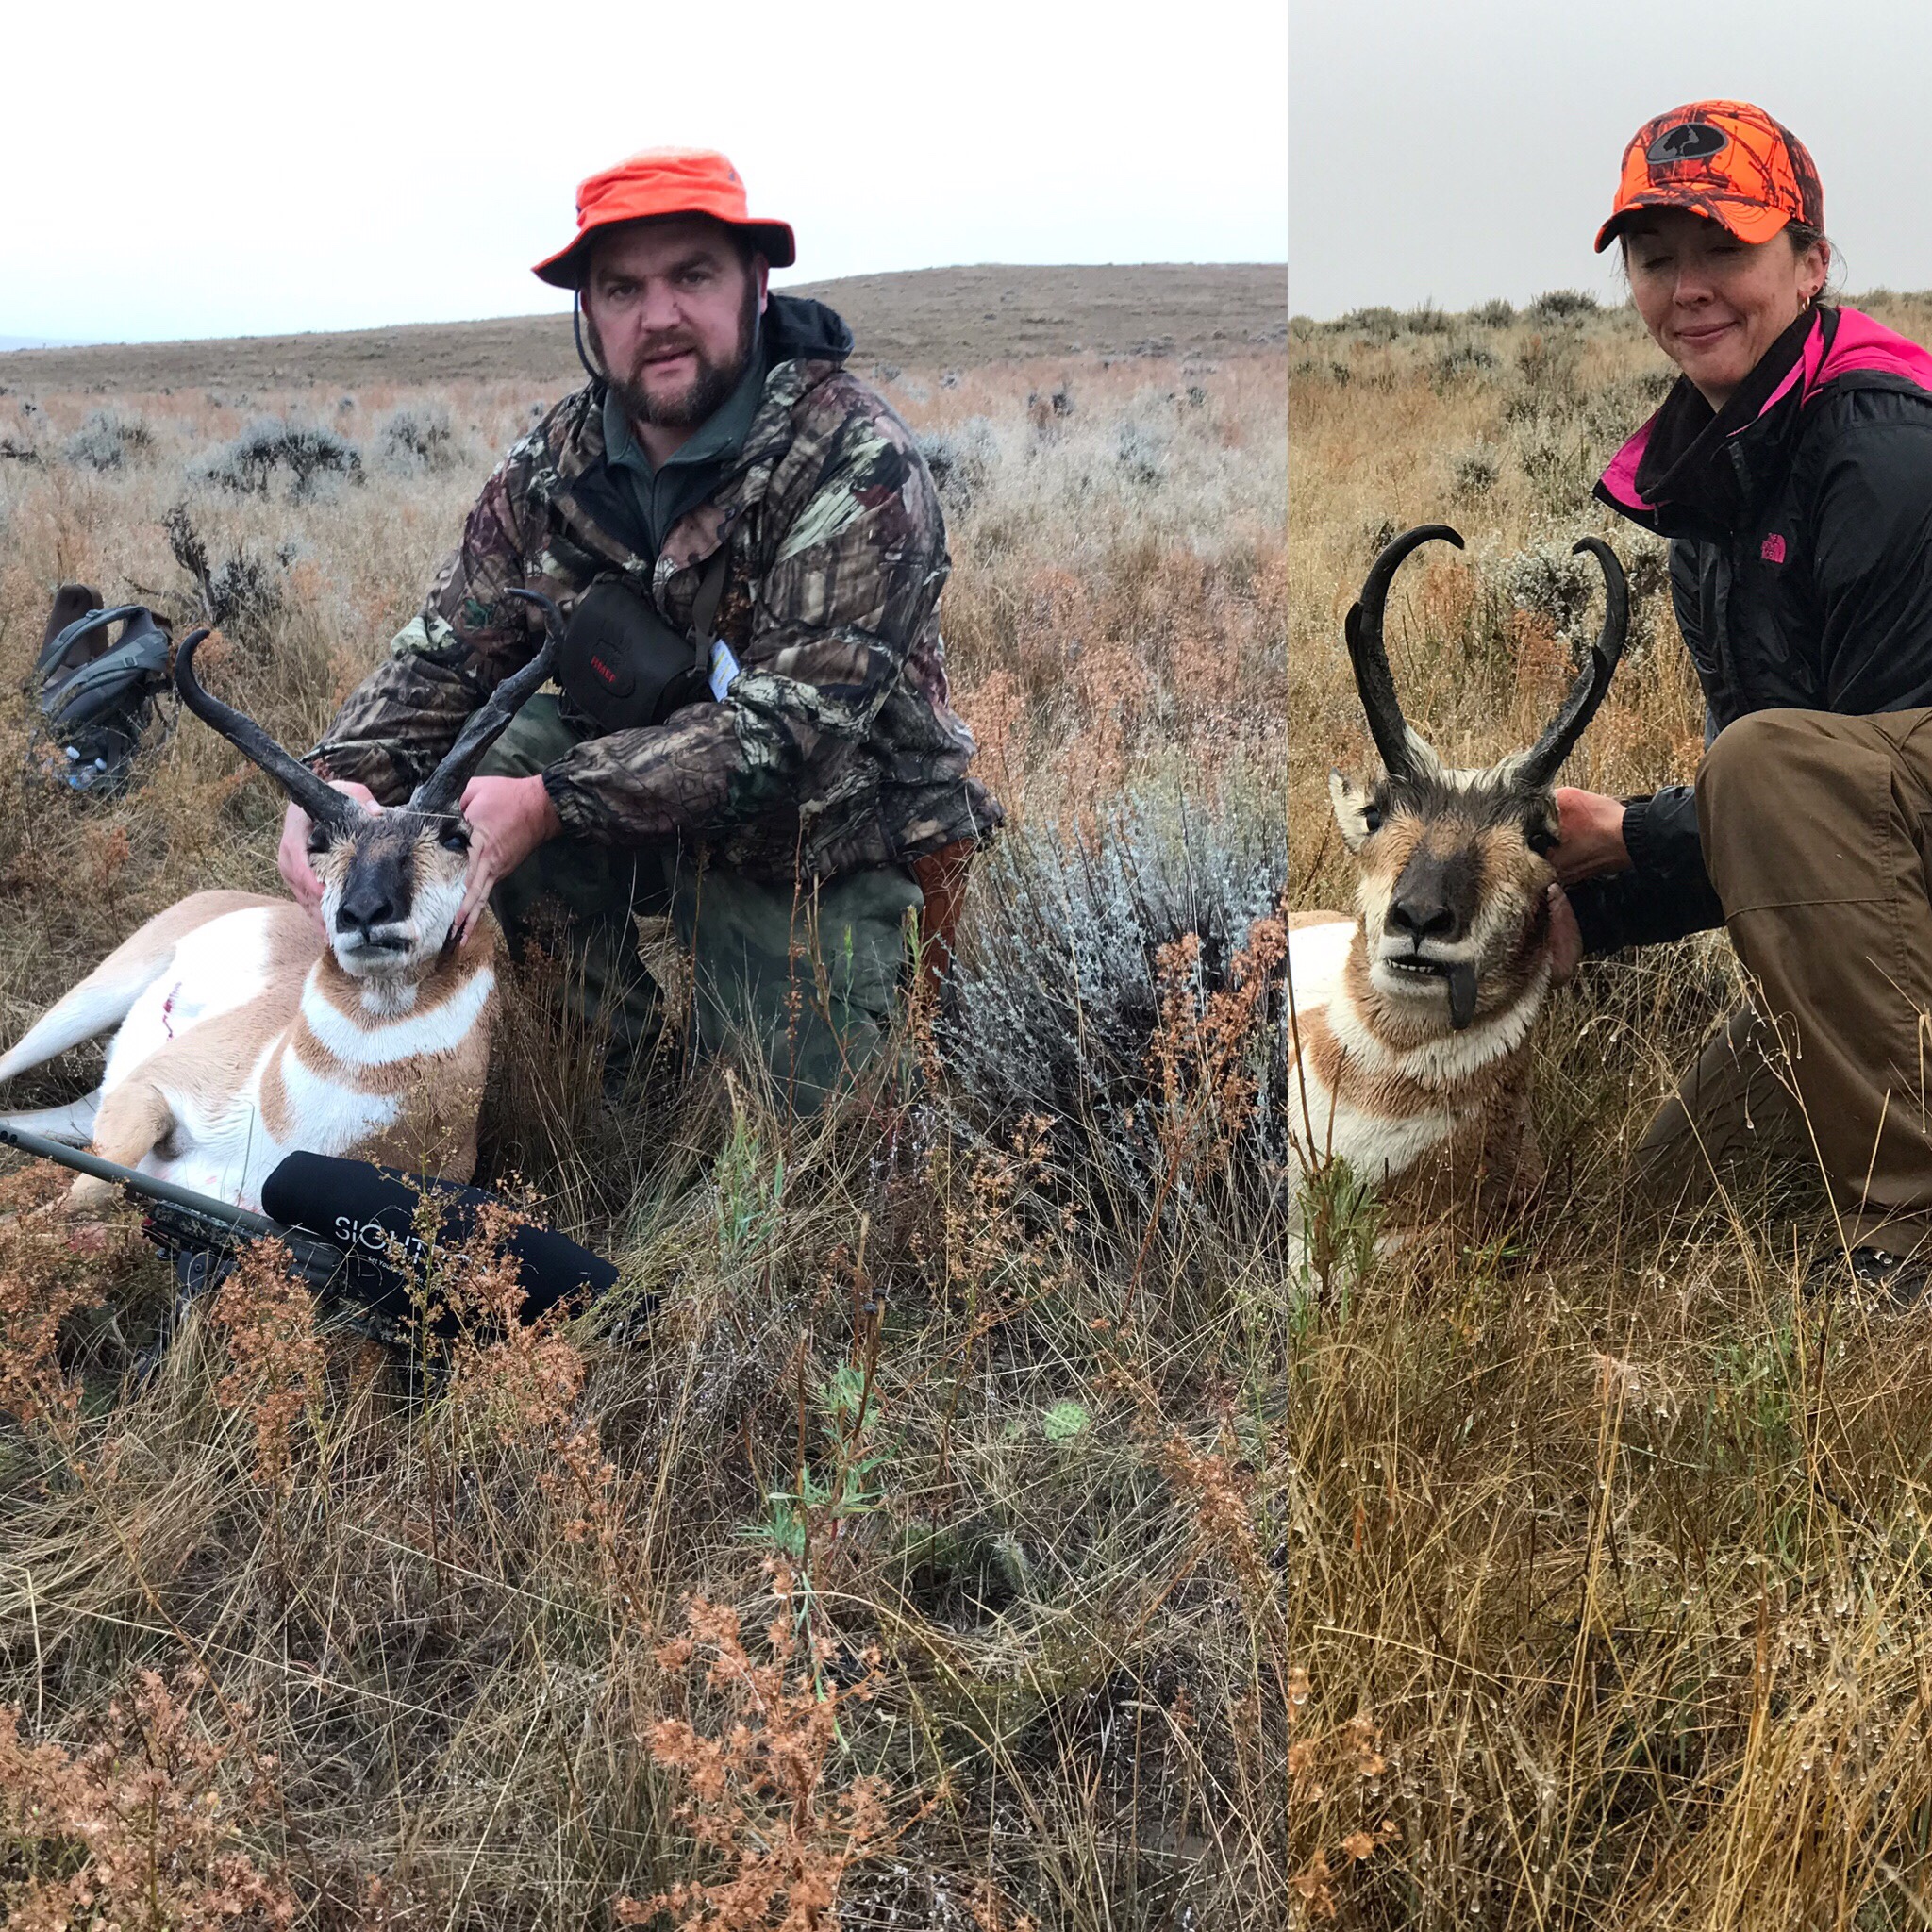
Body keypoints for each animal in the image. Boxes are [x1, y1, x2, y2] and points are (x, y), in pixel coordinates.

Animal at [0, 612, 558, 1212]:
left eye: (458, 836)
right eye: (318, 840)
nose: (364, 912)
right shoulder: (146, 1092)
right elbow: (82, 1195)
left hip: (84, 1108)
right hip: (90, 1002)